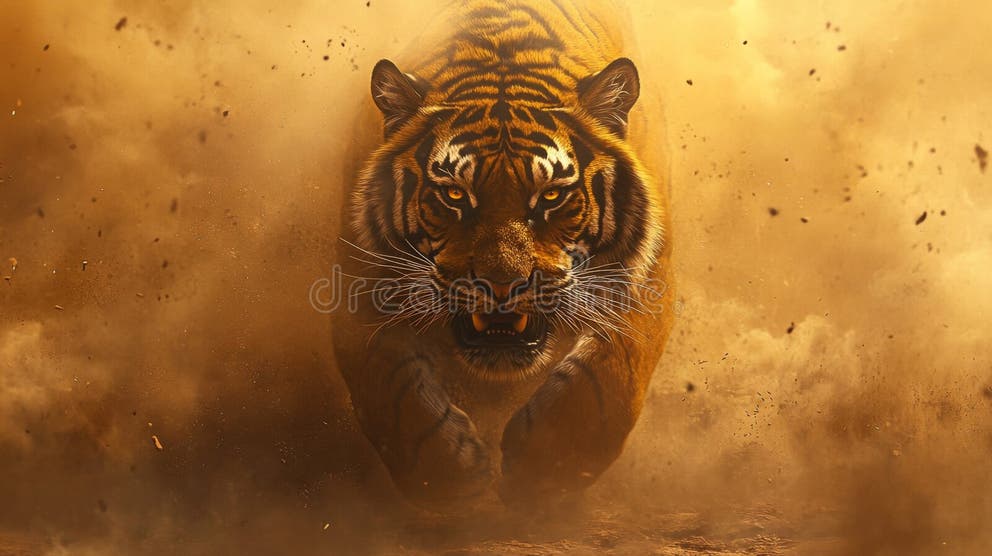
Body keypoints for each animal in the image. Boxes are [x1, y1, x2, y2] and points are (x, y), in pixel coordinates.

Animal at [331, 0, 674, 511]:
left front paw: (544, 472)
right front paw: (450, 479)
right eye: (455, 193)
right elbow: (388, 386)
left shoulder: (645, 279)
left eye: (551, 195)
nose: (501, 286)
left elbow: (610, 379)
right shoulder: (358, 283)